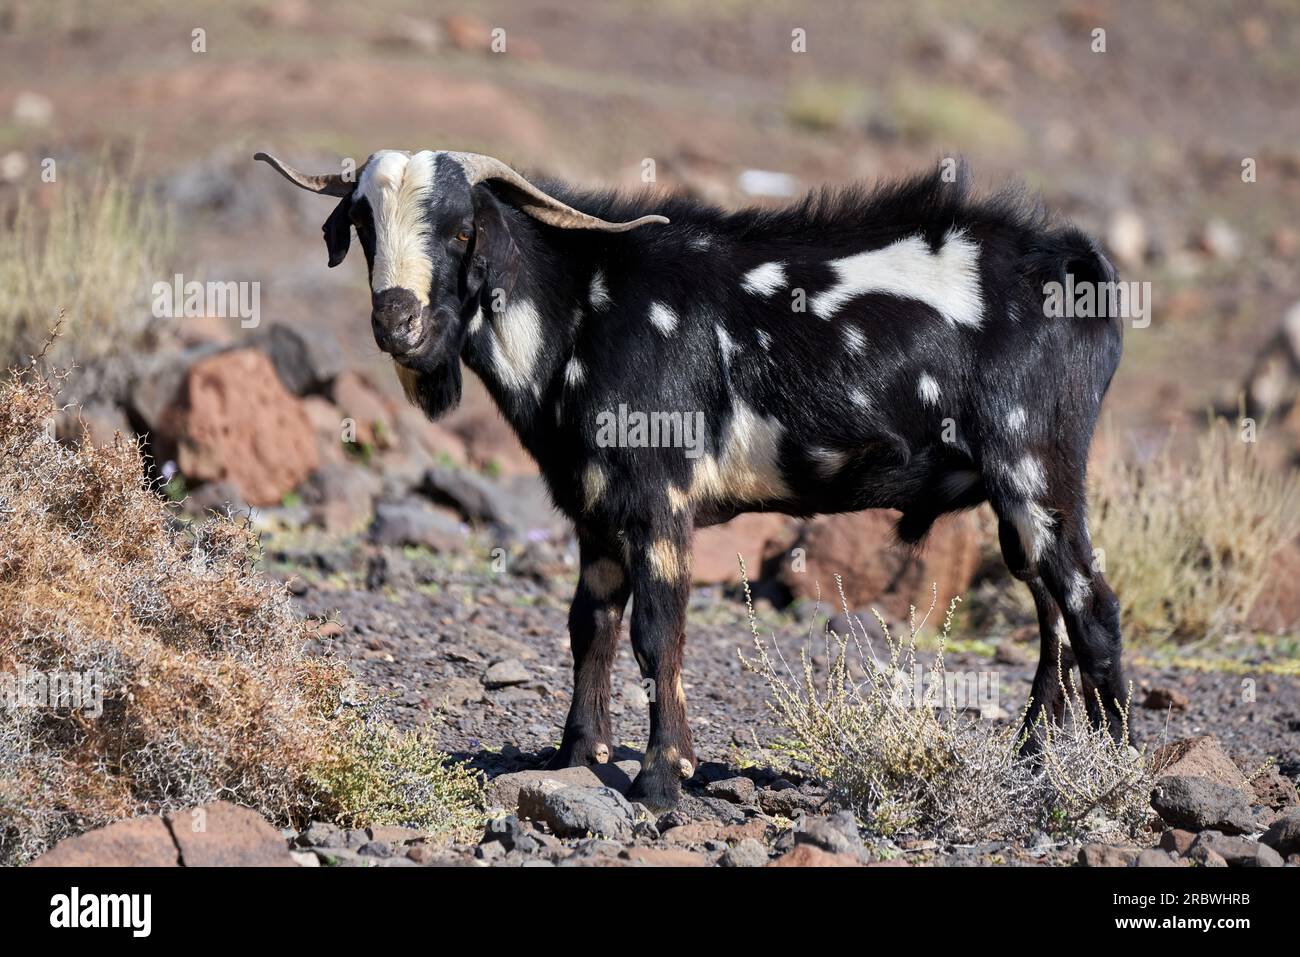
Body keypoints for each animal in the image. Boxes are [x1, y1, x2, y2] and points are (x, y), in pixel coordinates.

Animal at [257, 149, 1127, 810]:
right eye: (365, 226)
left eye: (460, 226)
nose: (396, 321)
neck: (582, 306)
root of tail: (1077, 265)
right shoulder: (596, 508)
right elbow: (590, 625)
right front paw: (576, 755)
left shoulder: (659, 499)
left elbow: (657, 633)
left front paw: (660, 778)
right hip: (1013, 501)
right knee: (1051, 608)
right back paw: (1031, 758)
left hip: (1036, 465)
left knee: (1091, 604)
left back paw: (1115, 772)